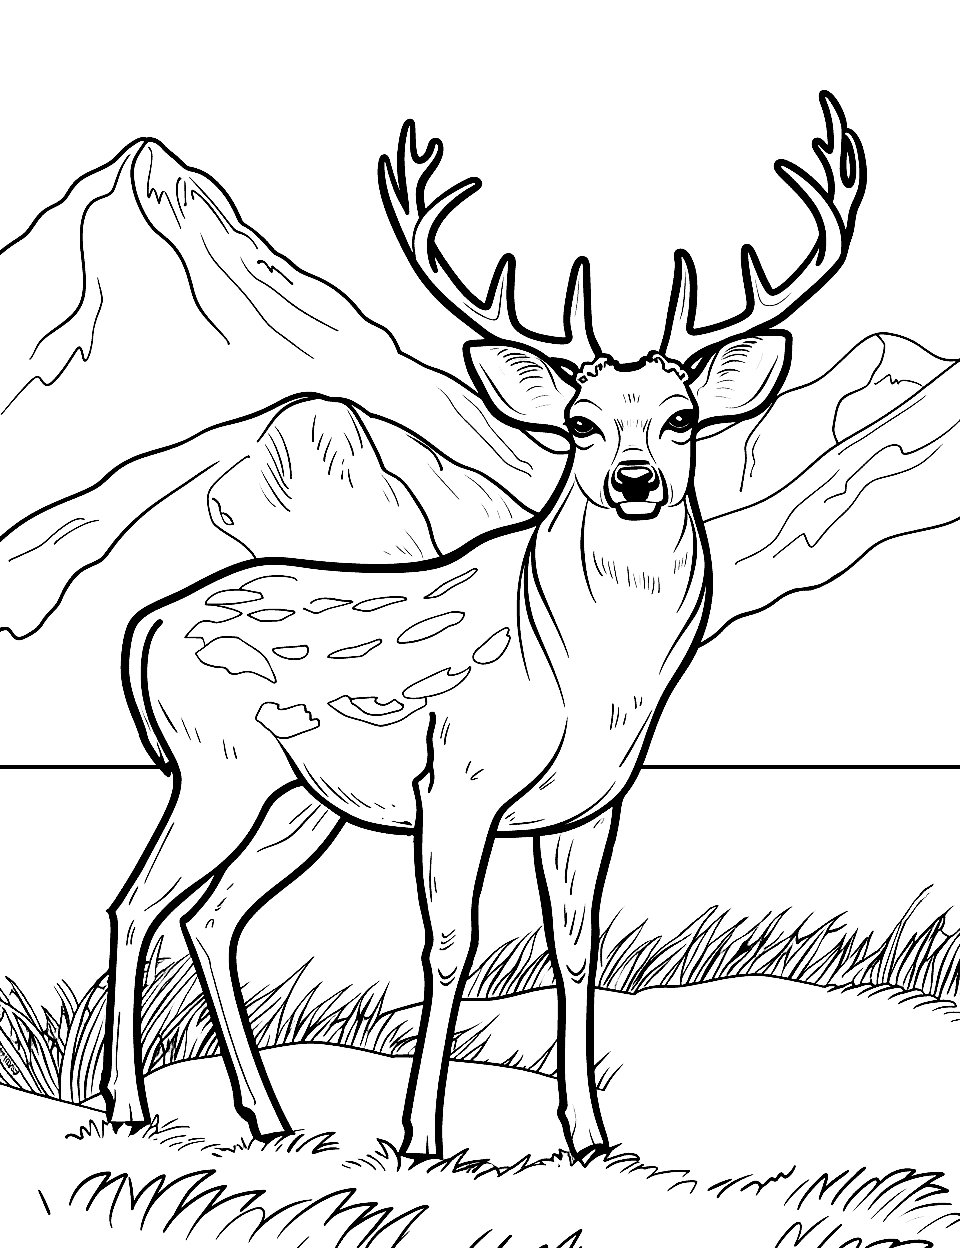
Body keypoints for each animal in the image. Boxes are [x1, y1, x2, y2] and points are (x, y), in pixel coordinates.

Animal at [101, 93, 865, 1161]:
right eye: (581, 423)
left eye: (681, 418)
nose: (635, 480)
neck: (591, 679)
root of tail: (144, 627)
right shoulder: (457, 778)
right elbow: (448, 943)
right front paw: (421, 1136)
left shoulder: (588, 805)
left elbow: (578, 950)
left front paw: (590, 1135)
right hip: (215, 764)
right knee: (137, 902)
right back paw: (127, 1107)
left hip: (300, 800)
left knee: (210, 918)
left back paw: (274, 1119)